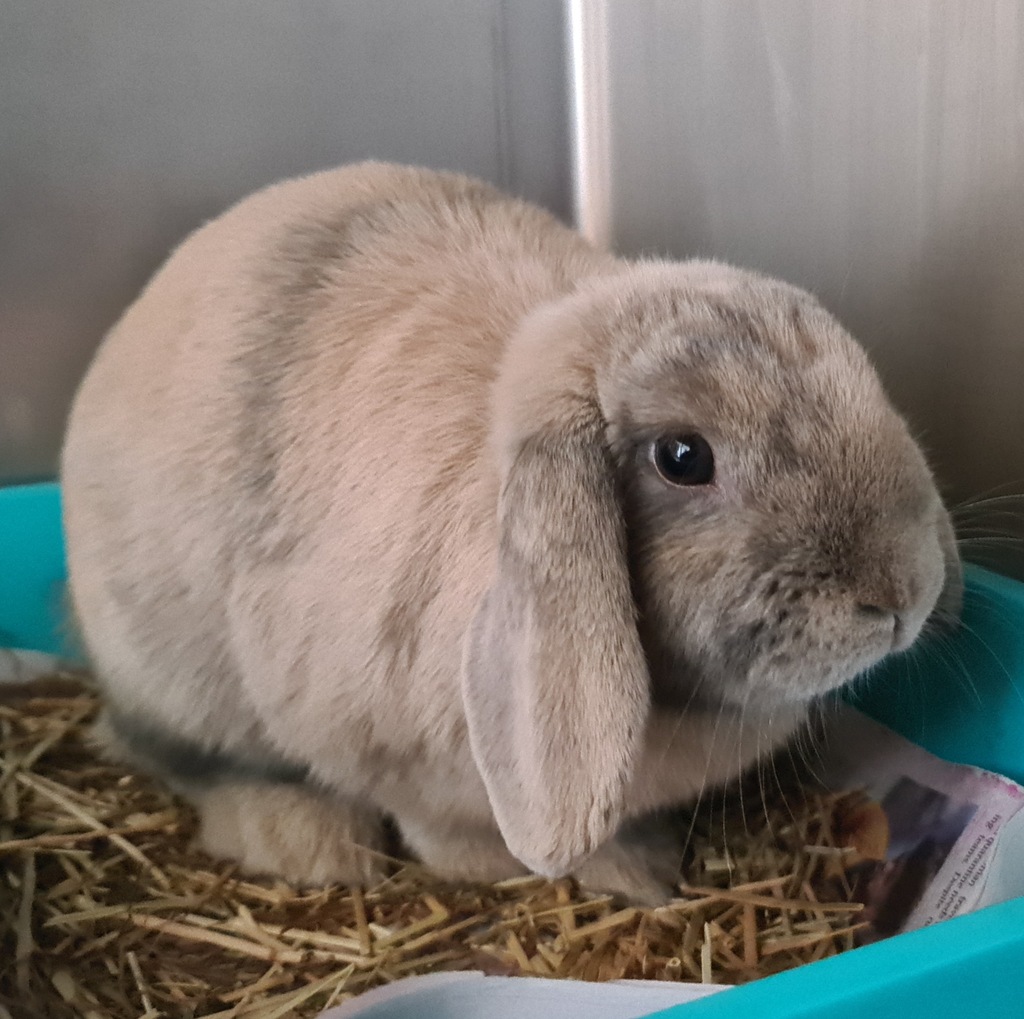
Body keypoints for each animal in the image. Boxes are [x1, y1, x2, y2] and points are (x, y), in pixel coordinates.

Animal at [61, 161, 962, 904]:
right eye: (683, 457)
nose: (903, 596)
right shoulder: (385, 749)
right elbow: (437, 830)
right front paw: (587, 872)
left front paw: (641, 861)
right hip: (168, 672)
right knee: (172, 753)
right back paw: (306, 842)